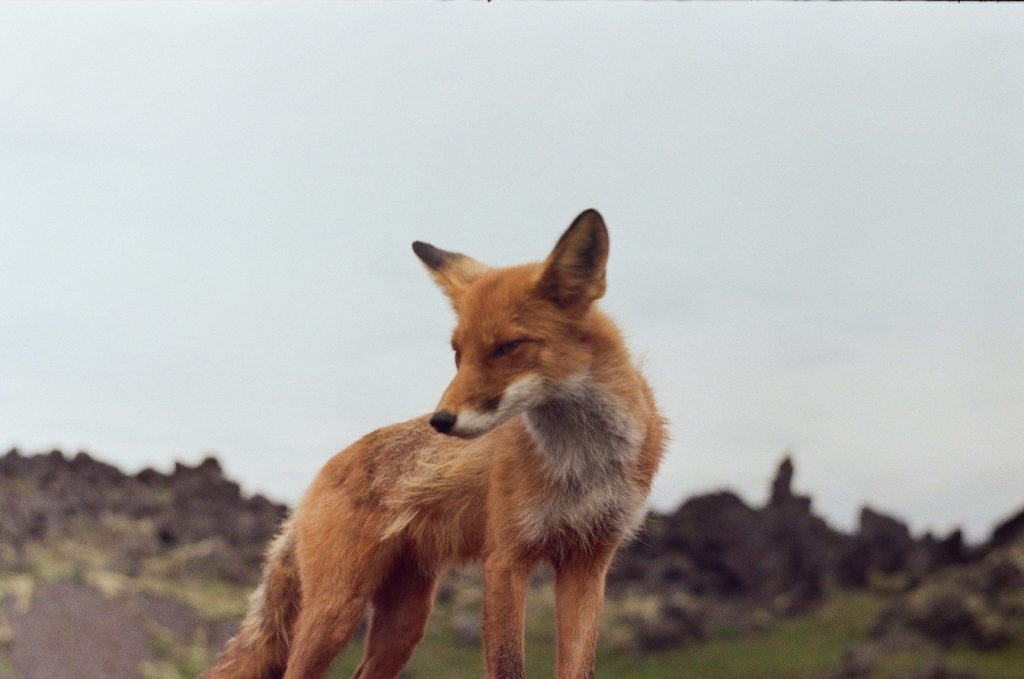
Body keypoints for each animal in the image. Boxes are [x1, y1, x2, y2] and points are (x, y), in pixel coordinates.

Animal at [204, 209, 667, 679]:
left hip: (405, 622)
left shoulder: (589, 560)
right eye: (457, 353)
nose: (440, 420)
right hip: (336, 610)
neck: (583, 462)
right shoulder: (506, 558)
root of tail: (316, 478)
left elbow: (579, 665)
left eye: (508, 347)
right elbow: (507, 665)